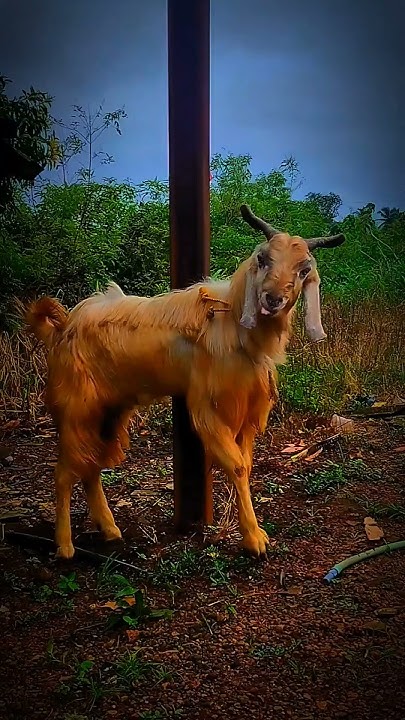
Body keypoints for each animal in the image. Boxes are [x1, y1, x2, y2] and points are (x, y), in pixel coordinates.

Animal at [25, 205, 345, 560]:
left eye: (304, 270)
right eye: (262, 259)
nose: (272, 299)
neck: (234, 325)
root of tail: (61, 326)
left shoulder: (248, 409)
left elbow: (246, 463)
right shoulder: (208, 405)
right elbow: (237, 466)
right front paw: (254, 539)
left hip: (108, 410)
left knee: (90, 466)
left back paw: (109, 530)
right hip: (76, 408)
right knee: (64, 472)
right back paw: (65, 545)